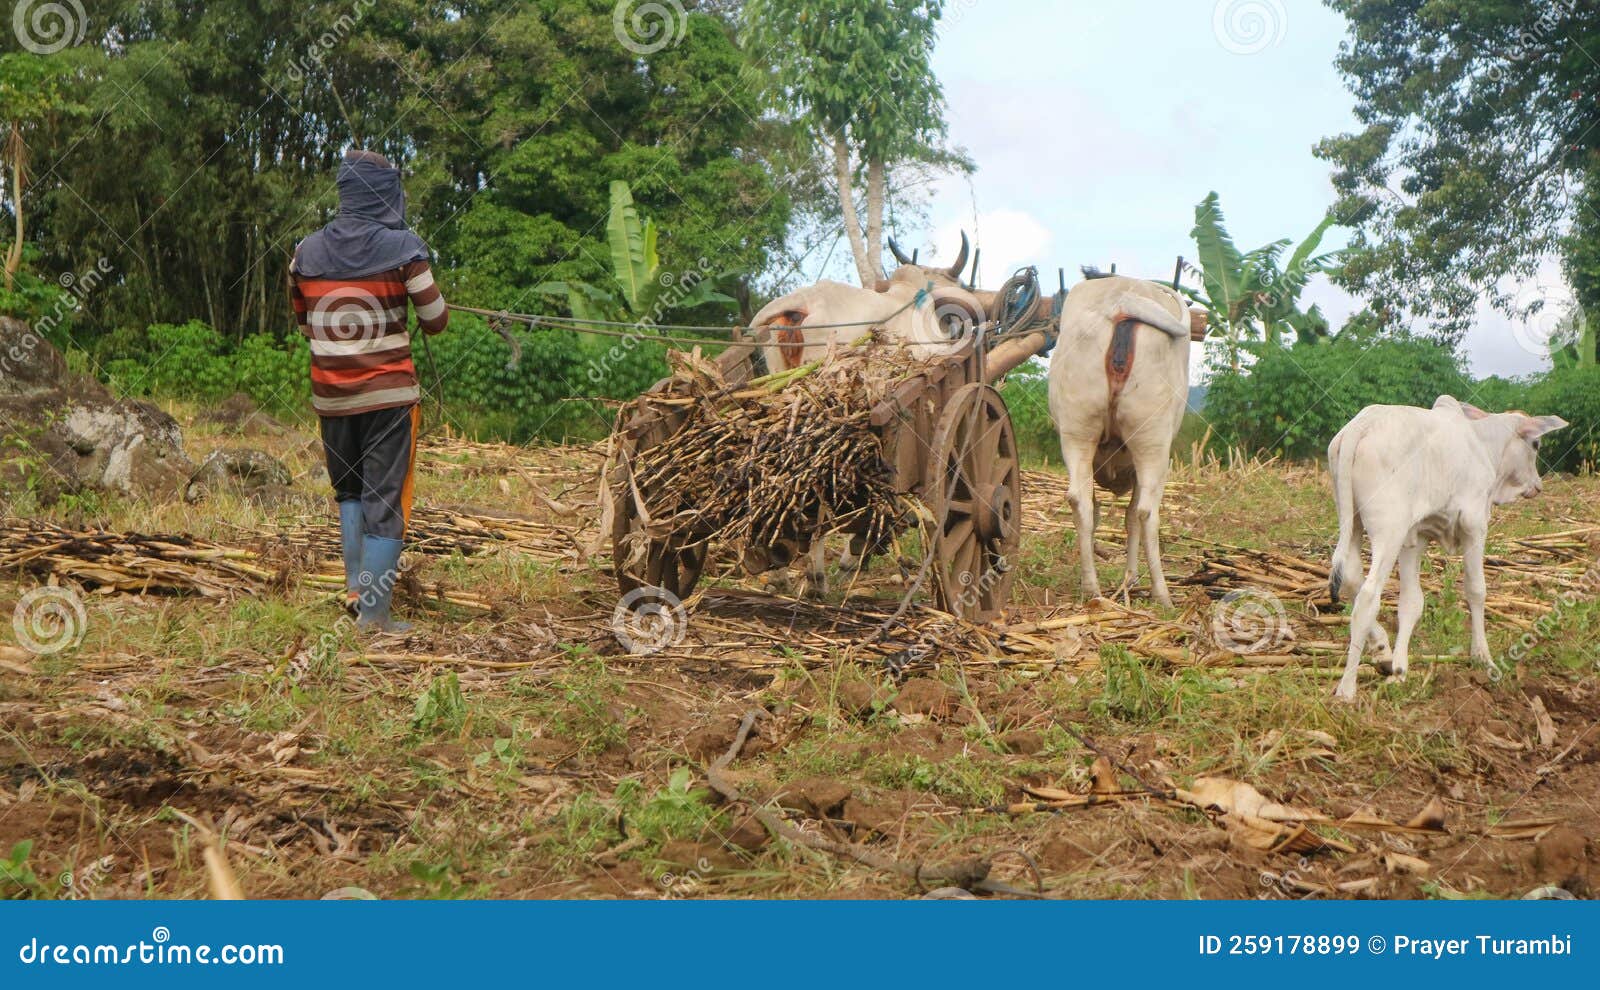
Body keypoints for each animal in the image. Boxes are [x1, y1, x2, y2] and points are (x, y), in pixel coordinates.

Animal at [1047, 275, 1195, 607]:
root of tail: (1122, 301)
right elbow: (1131, 517)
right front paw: (1132, 579)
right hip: (1153, 445)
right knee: (1147, 513)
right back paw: (1161, 593)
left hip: (1077, 434)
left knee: (1080, 502)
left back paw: (1091, 588)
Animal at [1327, 396, 1568, 701]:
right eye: (1535, 445)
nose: (1537, 485)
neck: (1483, 443)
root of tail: (1362, 425)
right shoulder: (1474, 525)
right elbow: (1476, 590)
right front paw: (1482, 657)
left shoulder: (1416, 536)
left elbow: (1411, 602)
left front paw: (1400, 670)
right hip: (1389, 529)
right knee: (1368, 597)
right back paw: (1346, 689)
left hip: (1353, 521)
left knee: (1351, 577)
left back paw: (1382, 651)